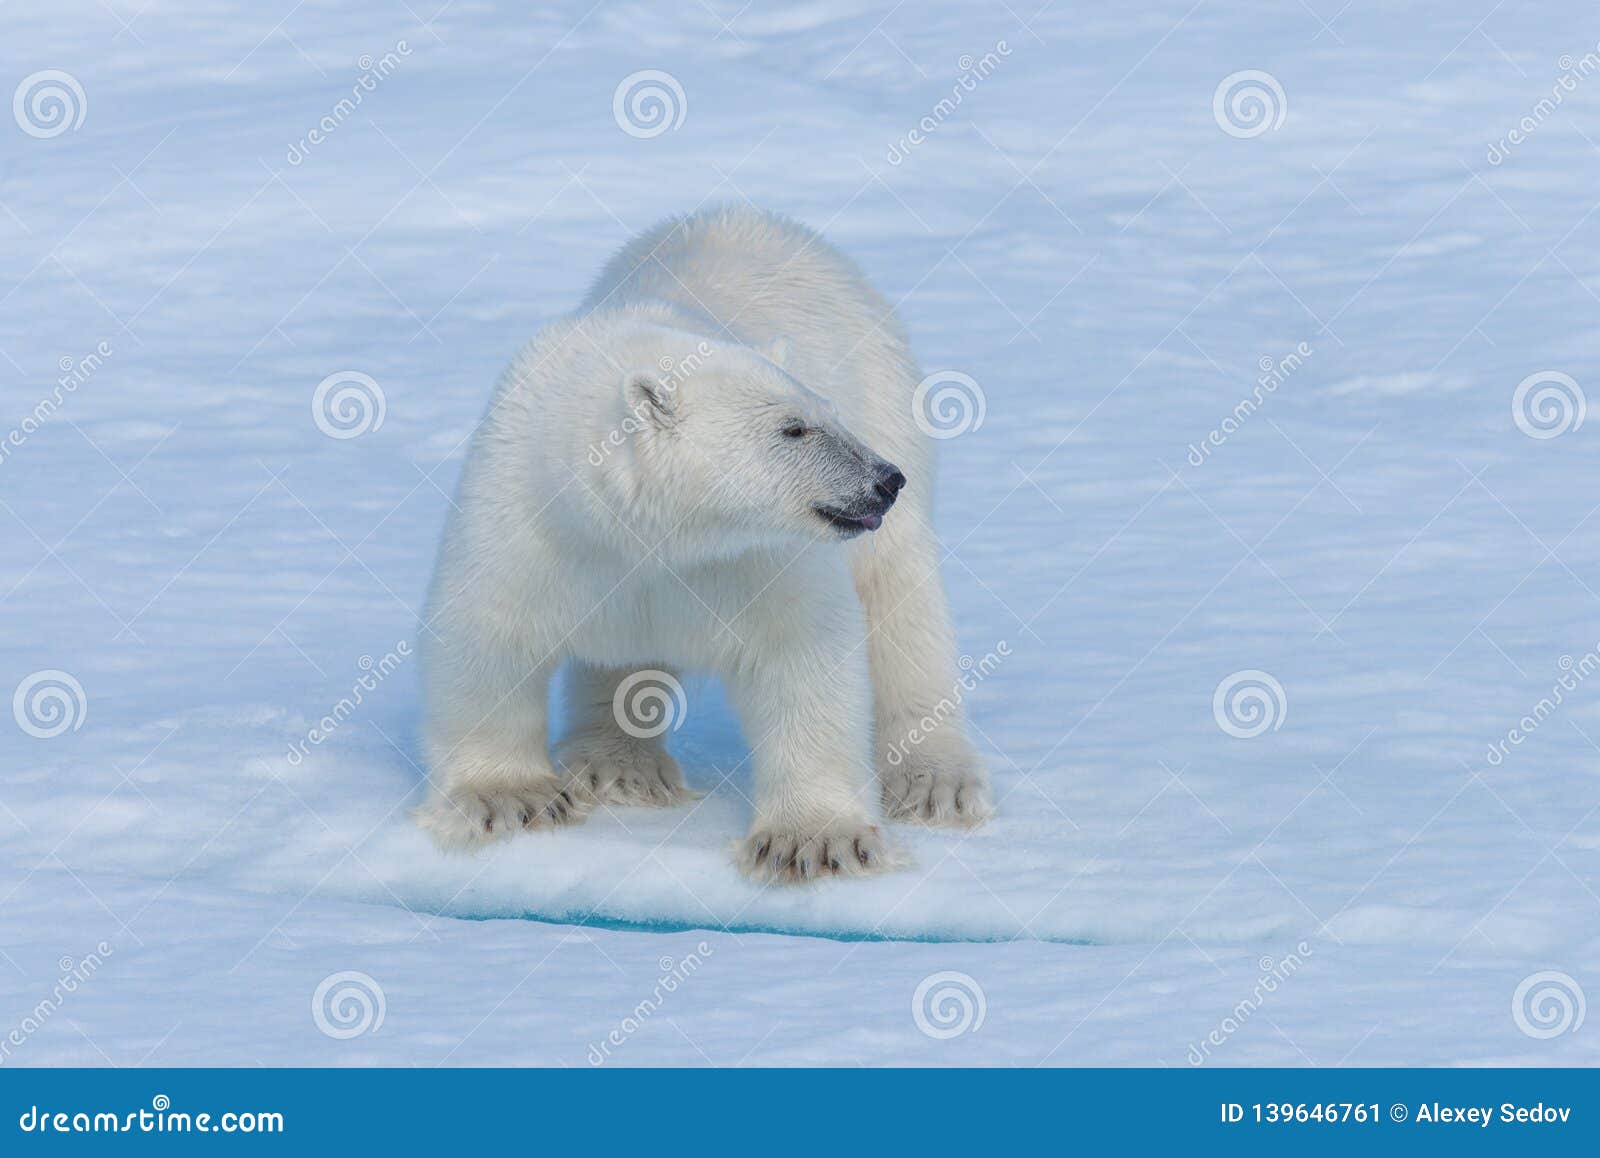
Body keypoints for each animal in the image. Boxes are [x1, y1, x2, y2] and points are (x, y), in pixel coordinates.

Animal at [414, 205, 992, 882]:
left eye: (828, 412)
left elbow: (803, 650)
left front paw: (815, 840)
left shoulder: (753, 556)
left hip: (887, 398)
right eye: (793, 429)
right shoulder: (534, 512)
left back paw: (934, 782)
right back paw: (620, 768)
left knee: (900, 605)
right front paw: (510, 800)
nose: (884, 480)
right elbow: (488, 633)